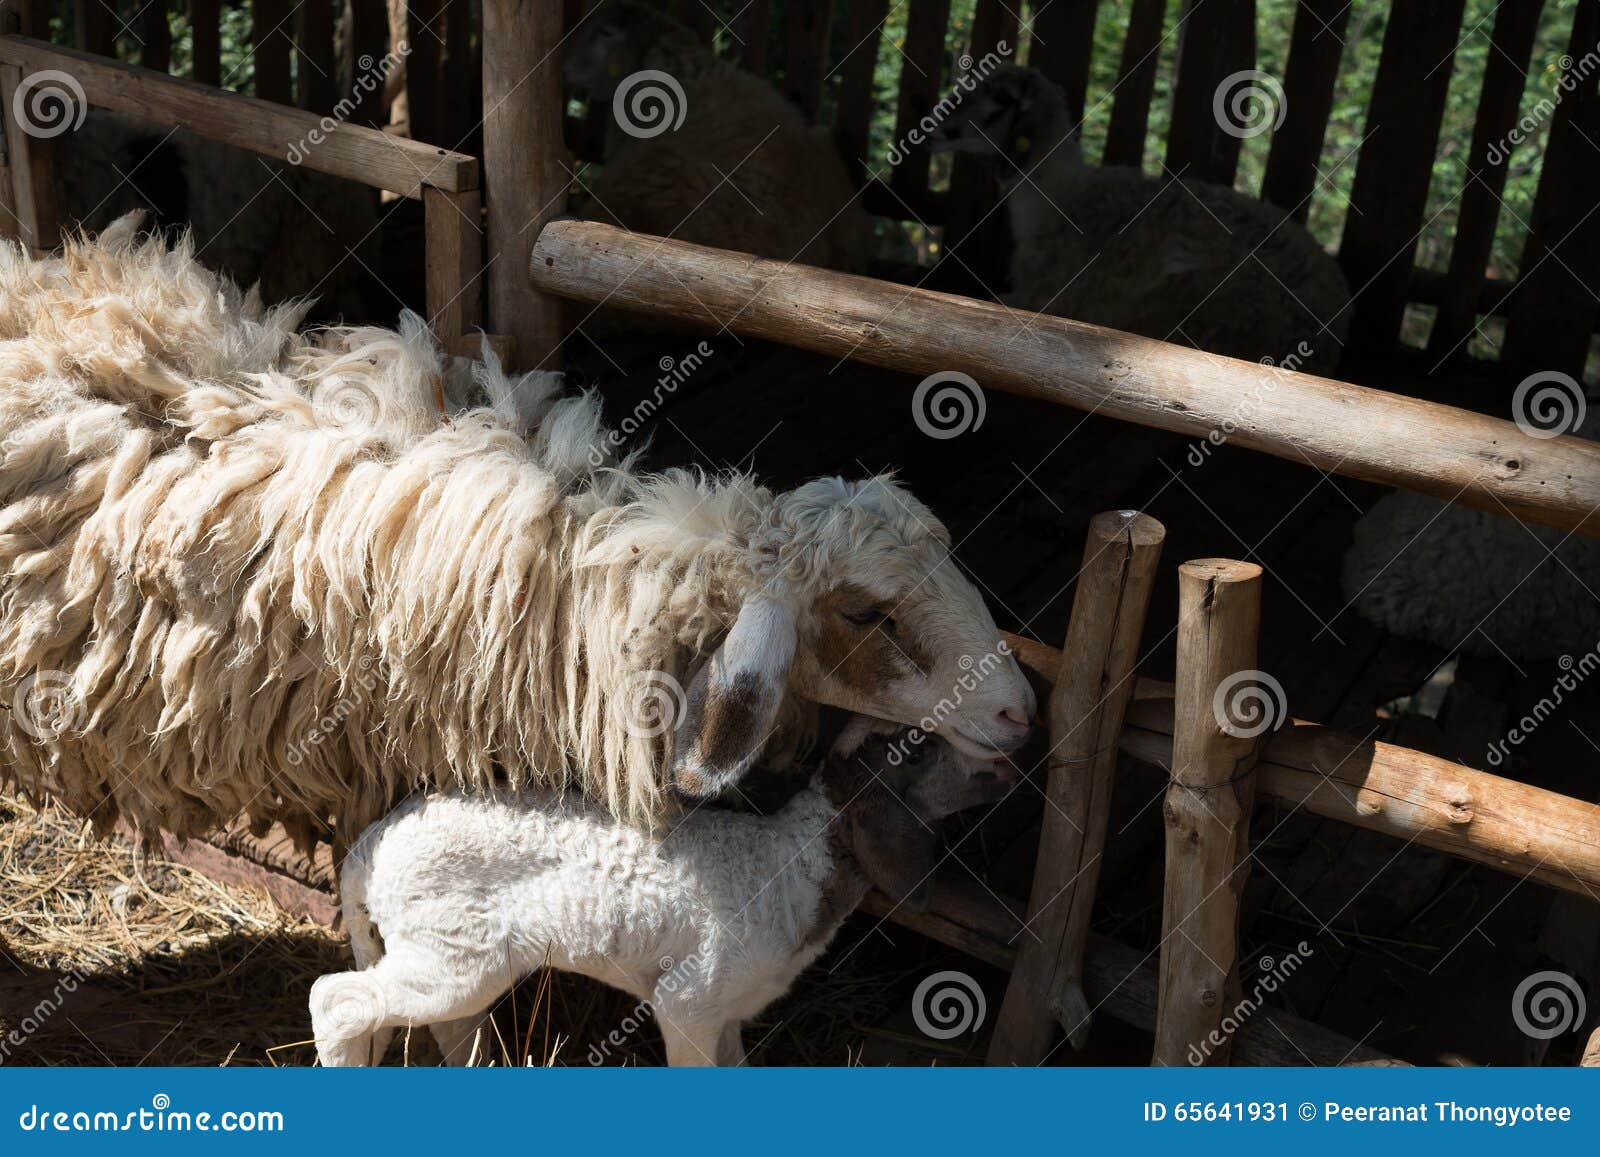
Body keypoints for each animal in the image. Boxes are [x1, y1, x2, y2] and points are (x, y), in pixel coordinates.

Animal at [309, 719, 1012, 1066]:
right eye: (920, 751)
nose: (1007, 766)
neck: (794, 859)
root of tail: (369, 849)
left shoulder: (728, 1012)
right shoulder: (689, 1001)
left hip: (447, 954)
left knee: (445, 1028)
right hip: (450, 953)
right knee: (337, 1003)